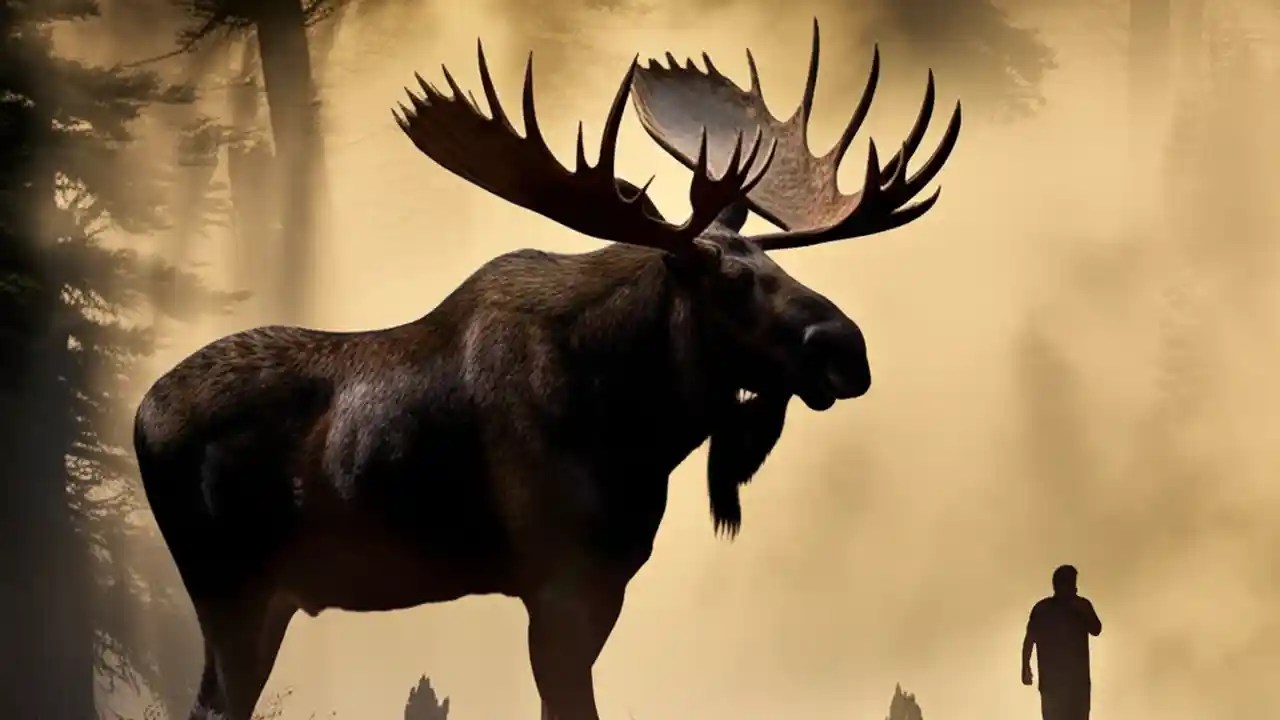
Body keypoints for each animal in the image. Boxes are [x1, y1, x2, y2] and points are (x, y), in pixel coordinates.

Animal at [133, 19, 960, 720]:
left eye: (776, 262)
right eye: (727, 281)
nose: (847, 347)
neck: (640, 426)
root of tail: (139, 414)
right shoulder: (563, 586)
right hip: (233, 588)